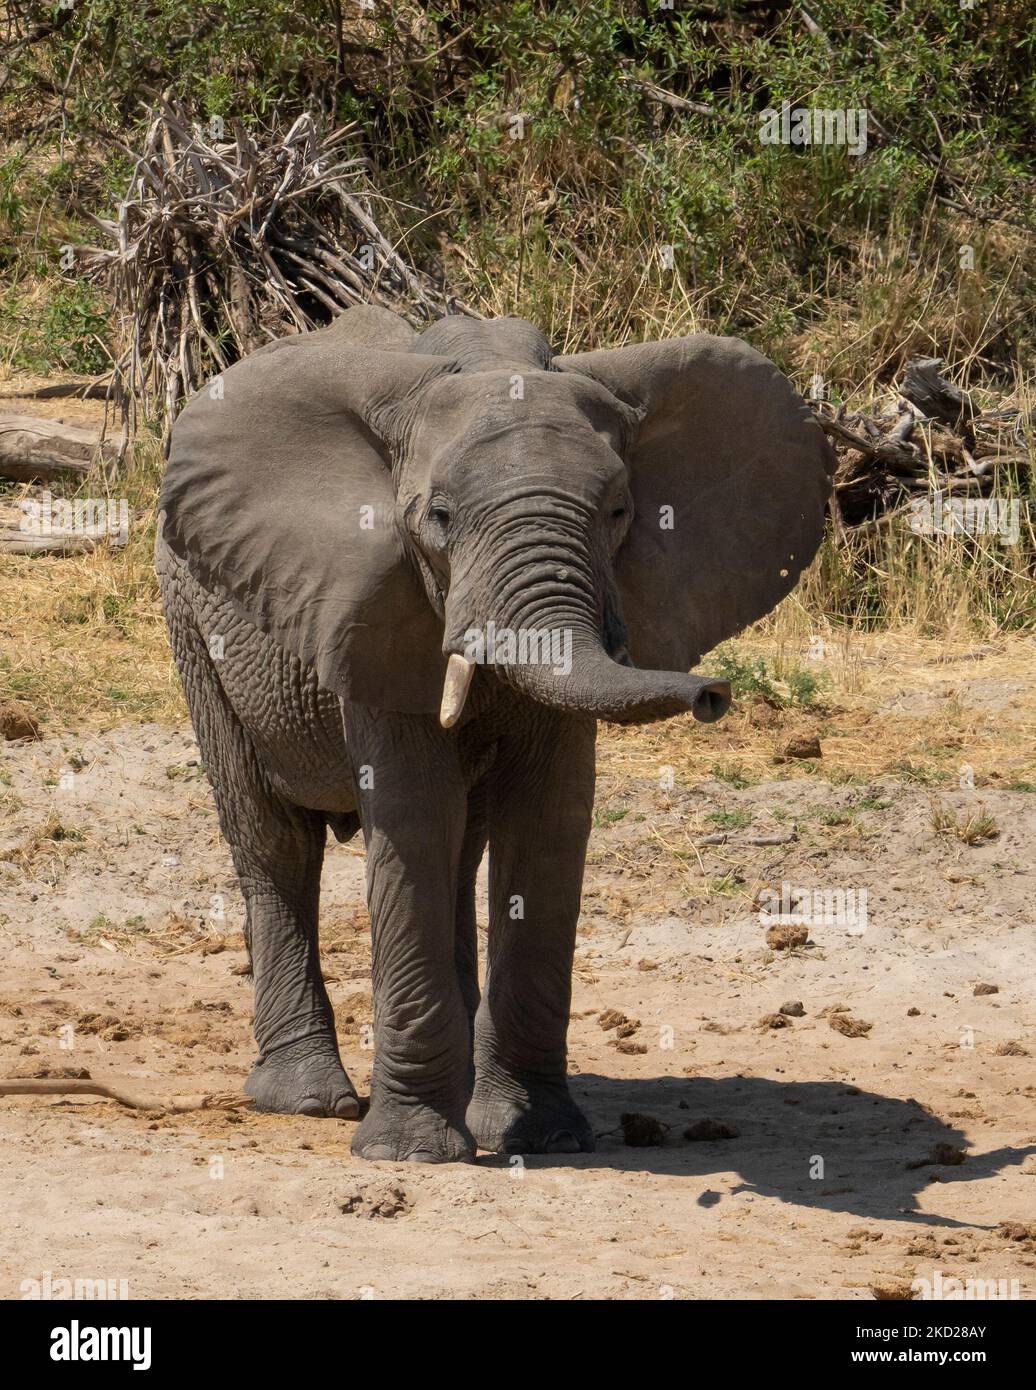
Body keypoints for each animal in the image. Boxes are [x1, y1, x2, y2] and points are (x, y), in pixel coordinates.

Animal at [155, 306, 833, 1163]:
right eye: (438, 517)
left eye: (618, 512)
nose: (713, 695)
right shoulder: (377, 603)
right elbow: (411, 809)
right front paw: (410, 1154)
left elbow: (547, 820)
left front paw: (540, 1137)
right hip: (191, 623)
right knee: (273, 842)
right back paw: (308, 1101)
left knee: (459, 852)